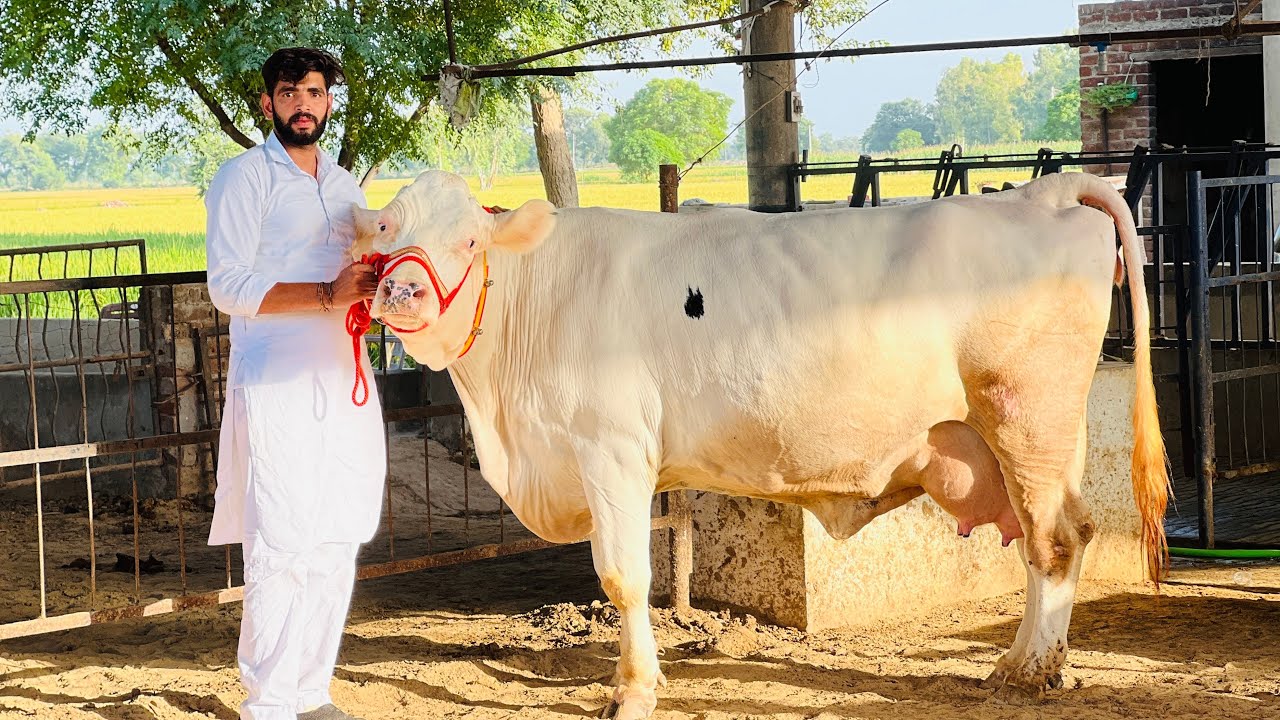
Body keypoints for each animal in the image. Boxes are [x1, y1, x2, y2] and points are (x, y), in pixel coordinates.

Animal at [351, 170, 1168, 718]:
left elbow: (623, 577)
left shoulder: (611, 450)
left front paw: (634, 691)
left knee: (1056, 539)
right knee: (1049, 540)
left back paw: (1029, 669)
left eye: (468, 240)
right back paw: (1028, 661)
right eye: (388, 231)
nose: (402, 293)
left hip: (1028, 420)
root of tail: (1044, 192)